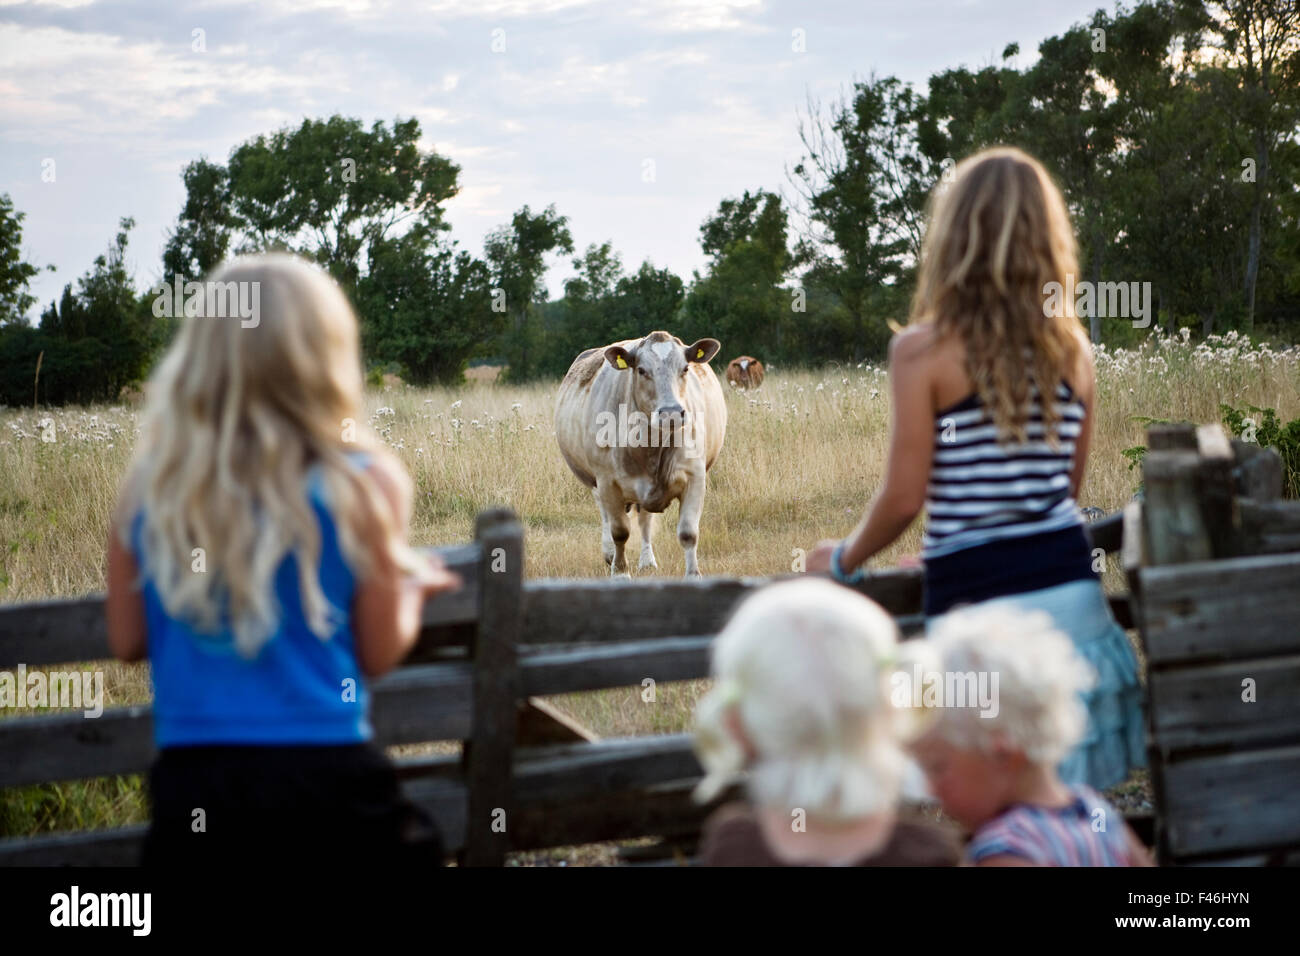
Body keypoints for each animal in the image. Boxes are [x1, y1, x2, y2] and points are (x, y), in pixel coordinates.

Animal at [555, 331, 727, 577]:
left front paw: (693, 575)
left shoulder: (695, 477)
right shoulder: (607, 483)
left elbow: (688, 533)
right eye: (642, 370)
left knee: (645, 520)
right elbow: (619, 532)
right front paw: (620, 572)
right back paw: (610, 555)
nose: (671, 413)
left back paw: (647, 561)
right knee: (606, 517)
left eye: (685, 368)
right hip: (595, 483)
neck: (652, 447)